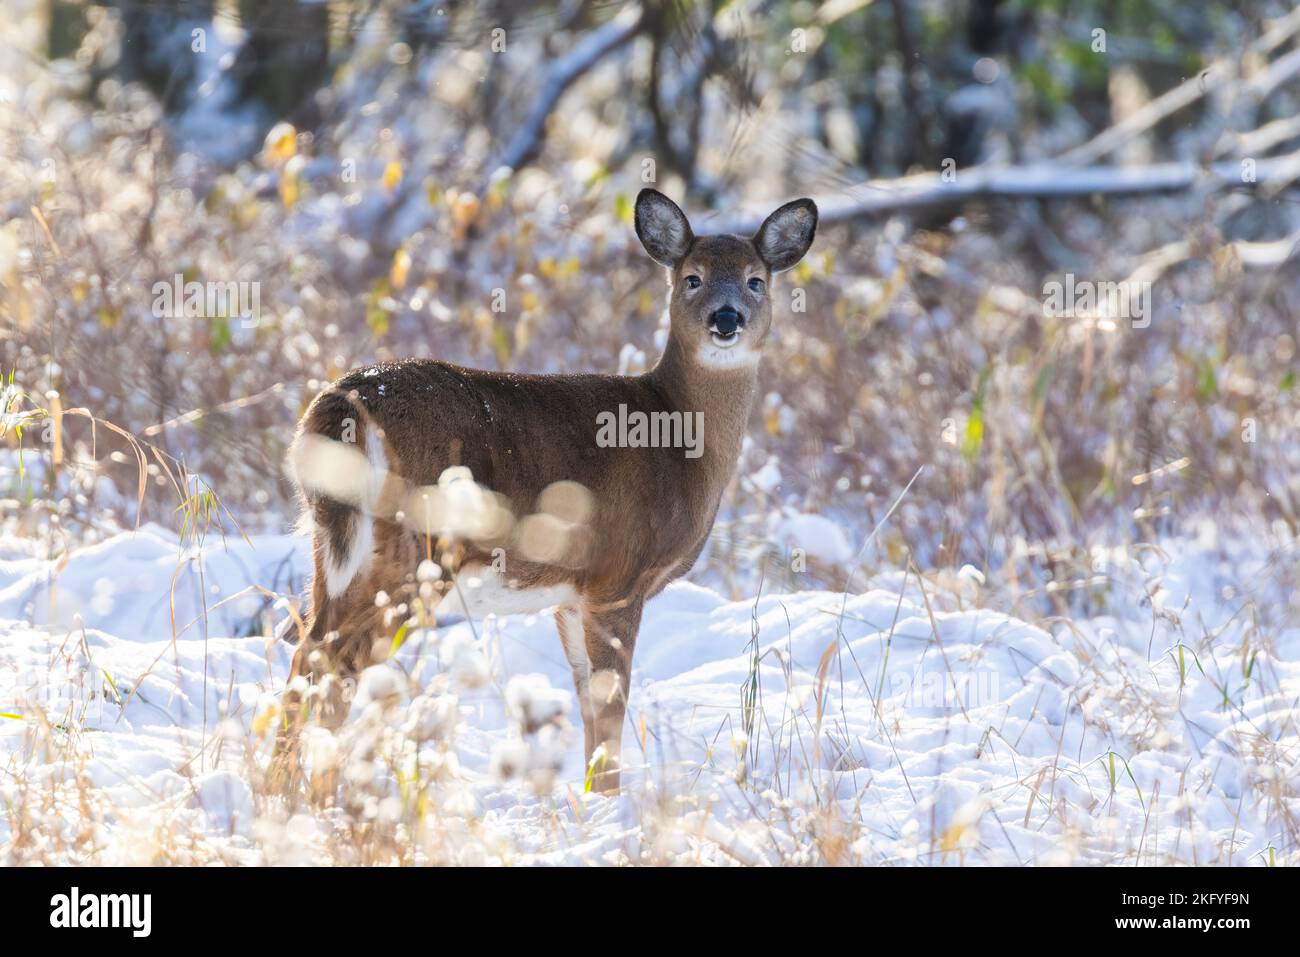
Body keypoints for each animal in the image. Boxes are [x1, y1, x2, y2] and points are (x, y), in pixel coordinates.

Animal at [279, 189, 817, 792]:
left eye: (756, 280)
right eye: (692, 278)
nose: (727, 318)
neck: (679, 440)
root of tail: (342, 404)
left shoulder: (571, 593)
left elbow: (586, 707)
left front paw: (594, 797)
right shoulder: (617, 578)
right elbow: (609, 709)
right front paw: (611, 802)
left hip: (330, 549)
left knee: (307, 653)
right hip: (409, 553)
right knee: (333, 665)